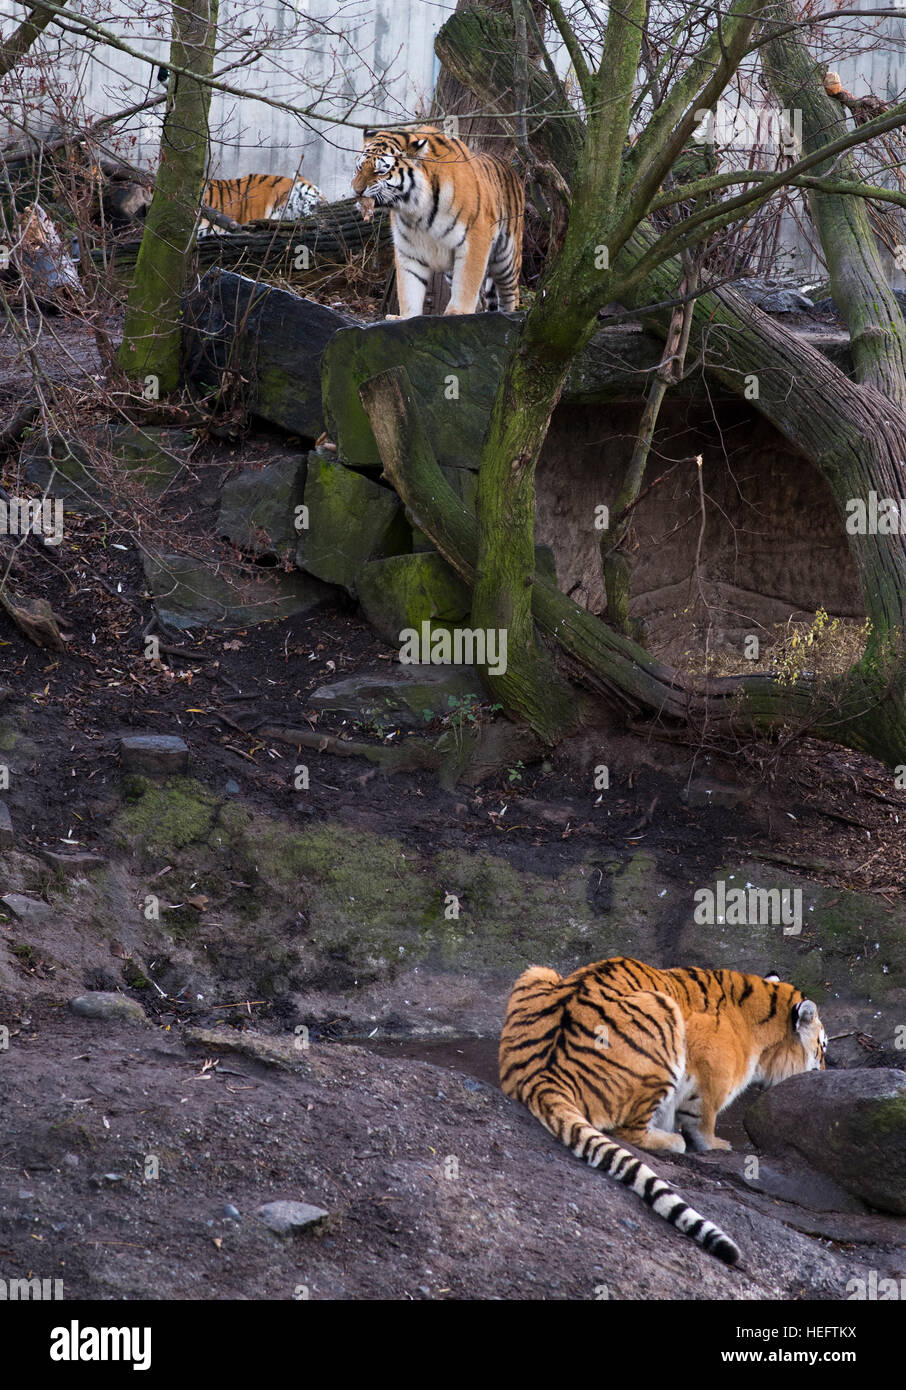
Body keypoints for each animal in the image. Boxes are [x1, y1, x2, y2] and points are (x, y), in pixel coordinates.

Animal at [351, 126, 524, 317]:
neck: (416, 210)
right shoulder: (409, 251)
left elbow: (467, 284)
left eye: (380, 171)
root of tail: (511, 169)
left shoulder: (476, 238)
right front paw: (407, 317)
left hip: (506, 258)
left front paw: (457, 313)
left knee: (511, 293)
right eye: (359, 167)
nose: (356, 190)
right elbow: (409, 290)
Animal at [499, 955, 827, 1264]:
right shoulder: (710, 1070)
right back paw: (672, 1140)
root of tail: (541, 1073)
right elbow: (703, 1118)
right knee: (628, 1131)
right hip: (662, 1012)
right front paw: (715, 1144)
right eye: (822, 1046)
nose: (825, 1069)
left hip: (537, 972)